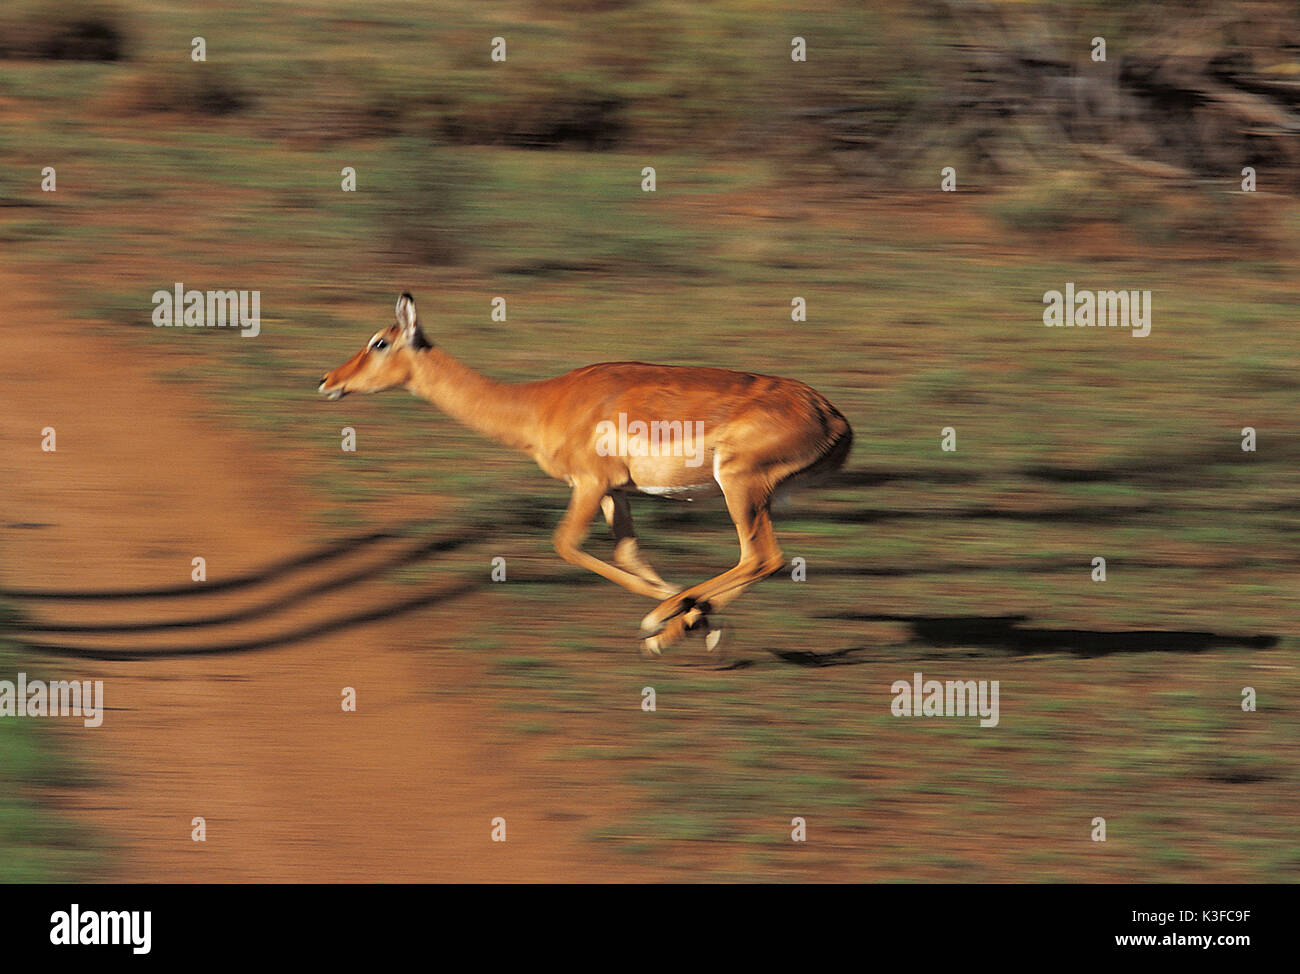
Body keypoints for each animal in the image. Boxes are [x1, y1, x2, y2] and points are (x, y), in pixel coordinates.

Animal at [318, 293, 853, 655]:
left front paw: (664, 618)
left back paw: (660, 624)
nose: (327, 380)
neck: (539, 404)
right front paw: (695, 619)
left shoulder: (588, 485)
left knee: (763, 556)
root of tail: (832, 416)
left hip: (740, 486)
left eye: (379, 341)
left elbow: (566, 544)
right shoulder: (618, 492)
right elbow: (628, 551)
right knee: (759, 558)